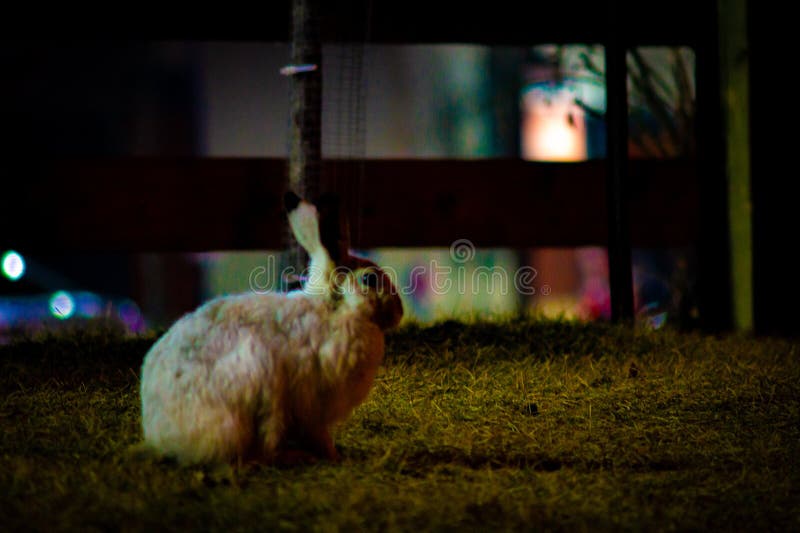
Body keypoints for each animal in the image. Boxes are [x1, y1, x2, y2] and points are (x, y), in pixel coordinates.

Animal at [139, 192, 403, 465]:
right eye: (369, 279)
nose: (400, 313)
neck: (335, 309)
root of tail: (163, 437)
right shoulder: (313, 407)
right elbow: (320, 436)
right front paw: (335, 457)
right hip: (262, 388)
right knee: (262, 448)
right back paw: (292, 456)